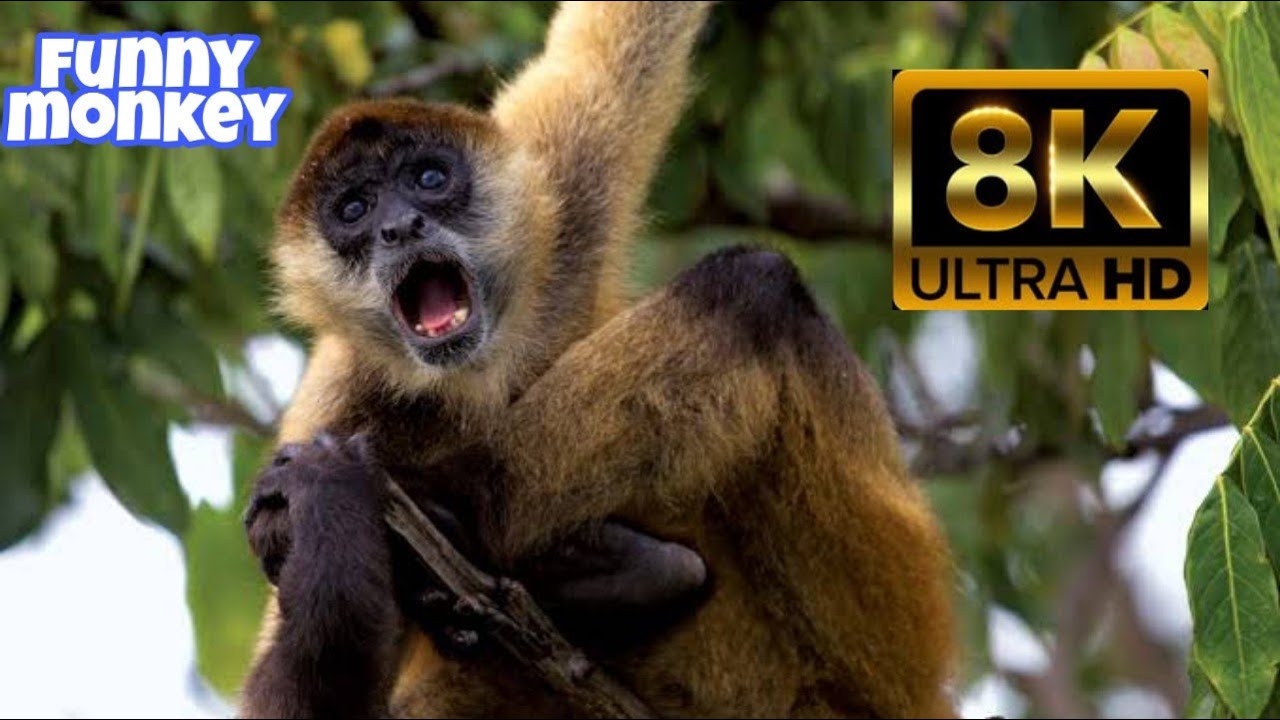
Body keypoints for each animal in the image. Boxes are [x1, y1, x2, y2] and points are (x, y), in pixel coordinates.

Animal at [242, 1, 958, 718]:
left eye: (428, 179)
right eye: (354, 211)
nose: (400, 228)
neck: (481, 373)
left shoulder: (561, 196)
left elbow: (619, 37)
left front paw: (337, 488)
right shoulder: (340, 399)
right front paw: (328, 495)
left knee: (754, 286)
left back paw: (488, 519)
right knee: (756, 290)